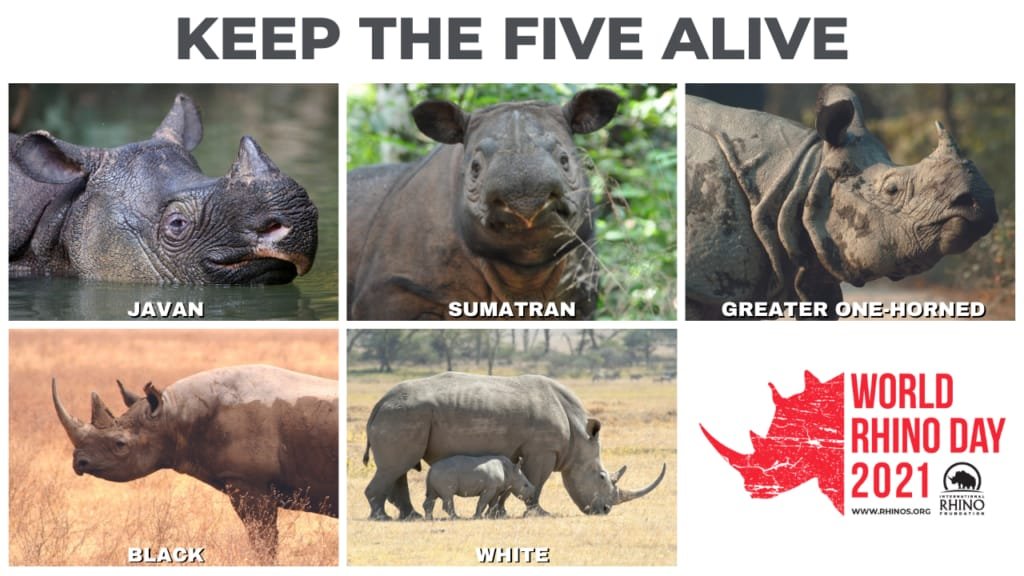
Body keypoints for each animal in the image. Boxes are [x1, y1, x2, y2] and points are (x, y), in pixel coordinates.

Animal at [362, 372, 666, 520]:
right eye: (602, 477)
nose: (605, 511)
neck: (579, 435)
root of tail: (379, 403)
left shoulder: (519, 451)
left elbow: (511, 484)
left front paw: (499, 512)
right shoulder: (542, 450)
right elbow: (537, 482)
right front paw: (540, 513)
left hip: (403, 415)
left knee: (399, 467)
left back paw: (410, 516)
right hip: (403, 415)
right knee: (394, 467)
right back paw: (382, 517)